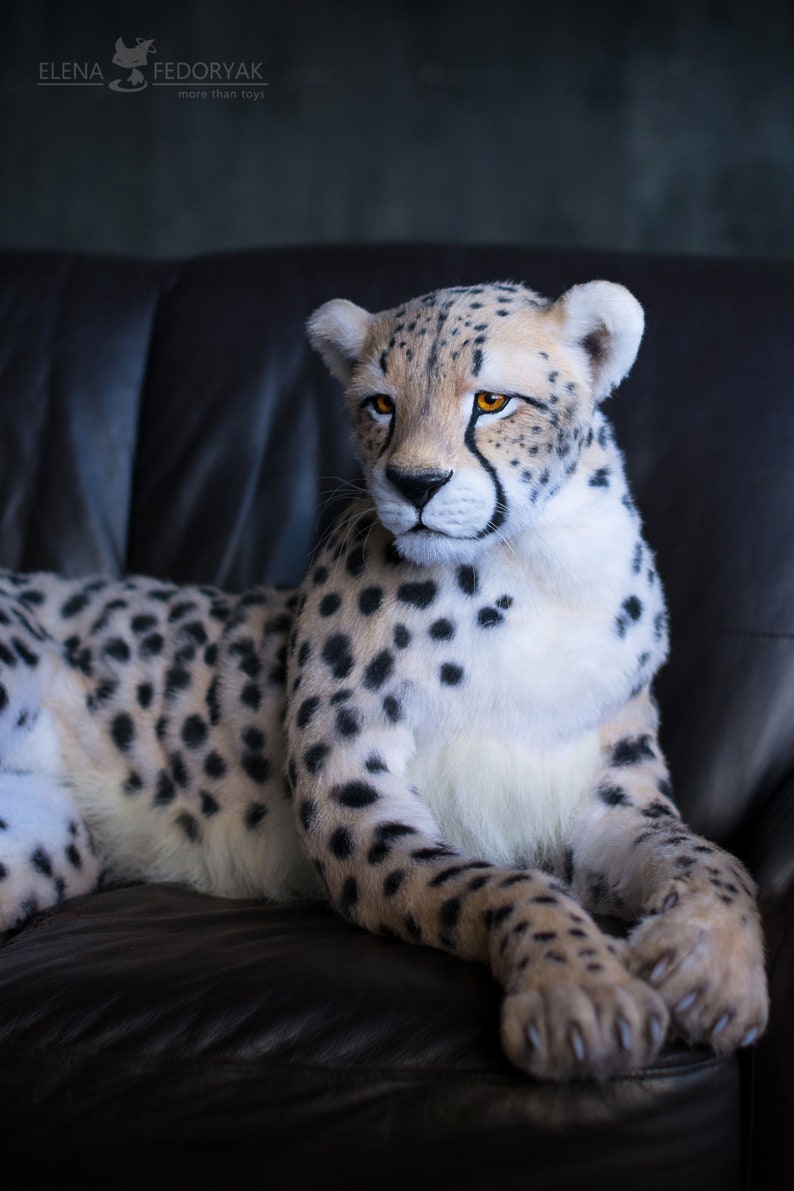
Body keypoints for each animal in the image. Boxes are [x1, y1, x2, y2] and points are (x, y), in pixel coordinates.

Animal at [0, 277, 768, 1081]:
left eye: (492, 400)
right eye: (380, 404)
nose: (416, 483)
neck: (528, 567)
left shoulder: (614, 808)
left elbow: (715, 860)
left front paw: (713, 967)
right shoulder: (356, 808)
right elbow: (510, 883)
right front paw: (581, 992)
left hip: (47, 837)